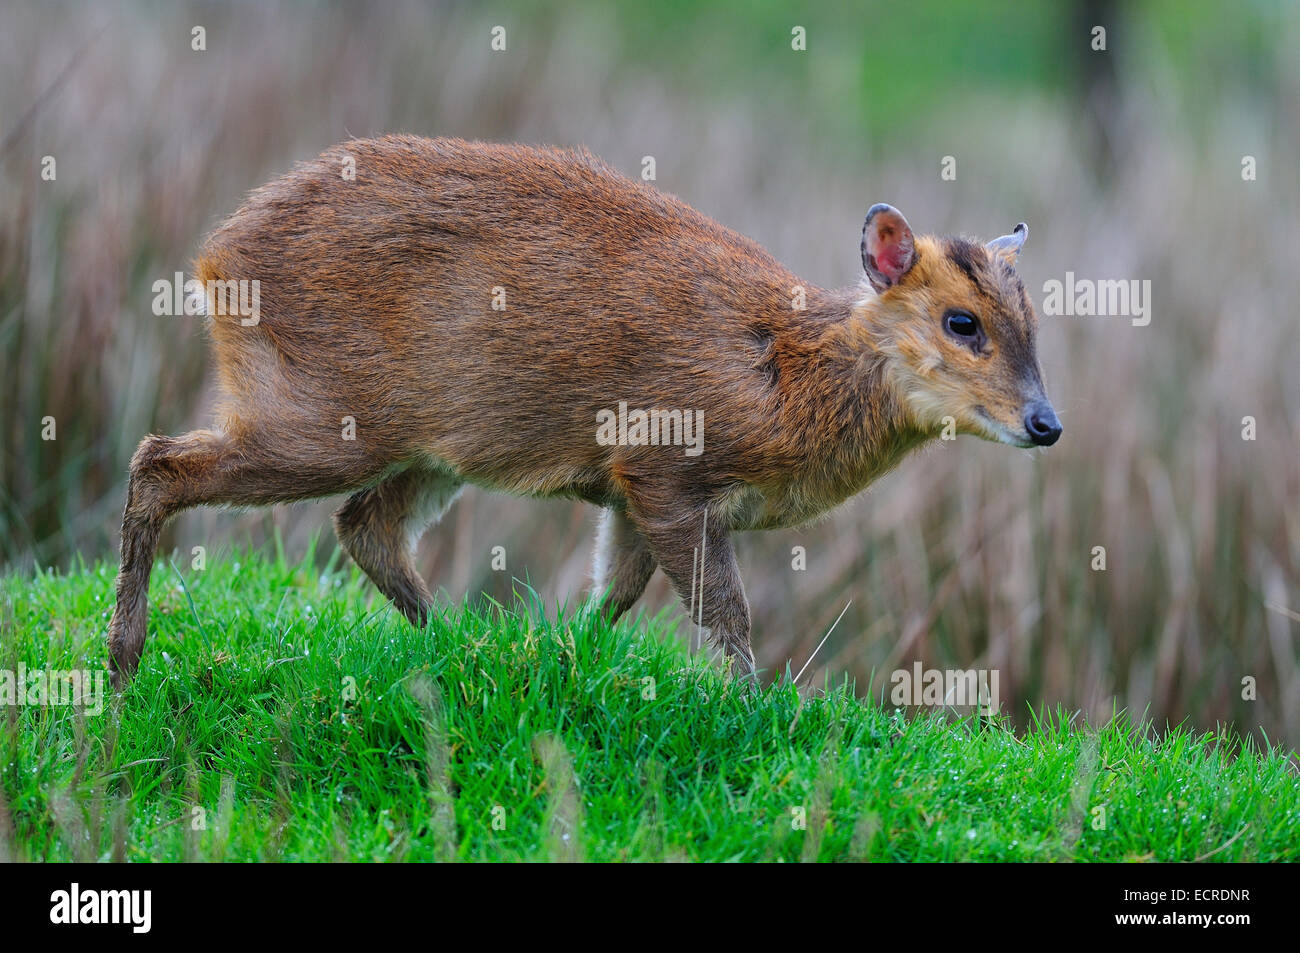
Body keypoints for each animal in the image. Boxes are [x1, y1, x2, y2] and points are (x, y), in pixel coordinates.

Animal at [107, 135, 1061, 687]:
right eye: (963, 322)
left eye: (1034, 319)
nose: (1046, 424)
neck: (787, 377)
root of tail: (214, 255)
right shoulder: (667, 462)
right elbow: (724, 610)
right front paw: (754, 709)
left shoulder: (630, 489)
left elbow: (617, 595)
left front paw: (562, 658)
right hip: (321, 413)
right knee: (157, 460)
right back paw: (121, 668)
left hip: (428, 445)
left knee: (362, 524)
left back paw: (452, 647)